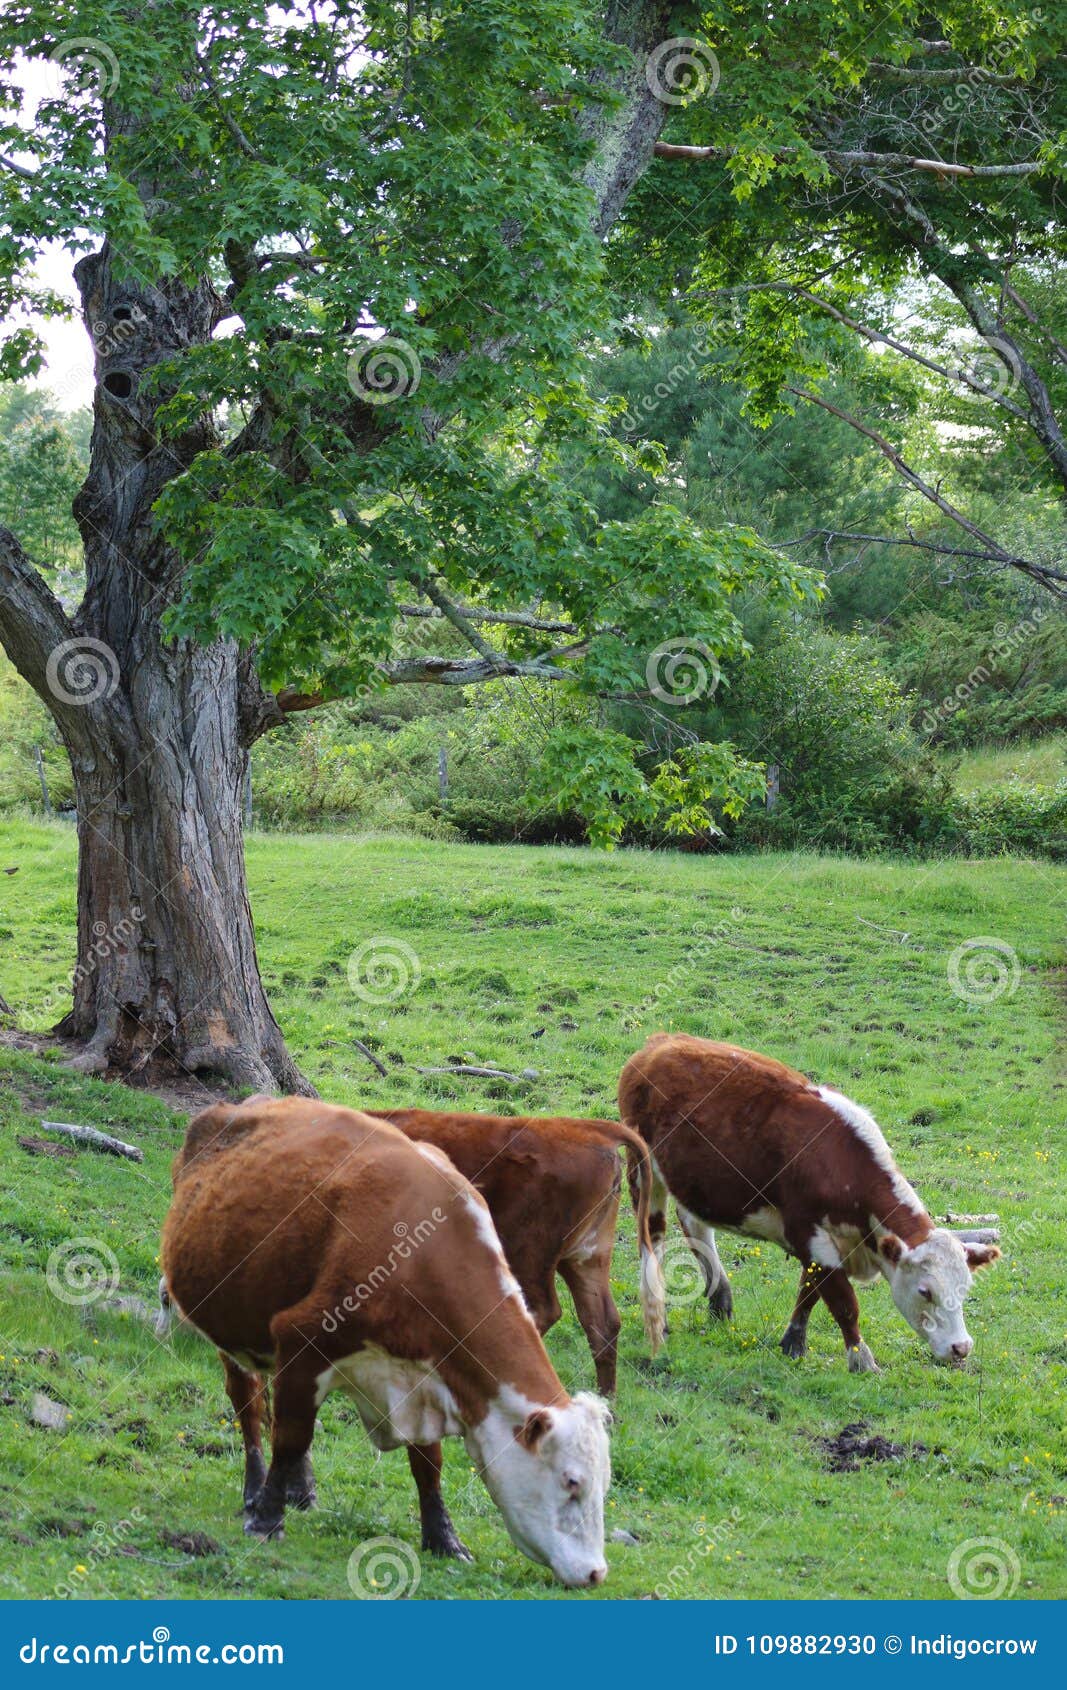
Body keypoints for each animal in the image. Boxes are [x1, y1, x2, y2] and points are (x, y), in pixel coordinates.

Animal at [161, 1096, 611, 1587]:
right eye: (571, 1481)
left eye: (603, 1487)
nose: (596, 1572)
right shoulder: (303, 1338)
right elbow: (292, 1437)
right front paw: (266, 1521)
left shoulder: (427, 1378)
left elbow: (428, 1465)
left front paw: (443, 1539)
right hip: (232, 1330)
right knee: (251, 1407)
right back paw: (255, 1489)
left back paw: (302, 1488)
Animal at [372, 1108, 658, 1395]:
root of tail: (591, 1128)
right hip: (587, 1257)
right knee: (601, 1322)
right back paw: (606, 1398)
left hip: (530, 1253)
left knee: (542, 1313)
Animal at [619, 1034, 1000, 1372]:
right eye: (925, 1290)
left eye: (965, 1289)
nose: (961, 1347)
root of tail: (660, 1043)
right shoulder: (808, 1232)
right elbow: (843, 1302)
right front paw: (861, 1360)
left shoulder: (824, 1244)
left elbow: (809, 1292)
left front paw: (793, 1343)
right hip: (642, 1170)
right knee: (651, 1237)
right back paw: (658, 1315)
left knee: (696, 1227)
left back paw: (720, 1301)